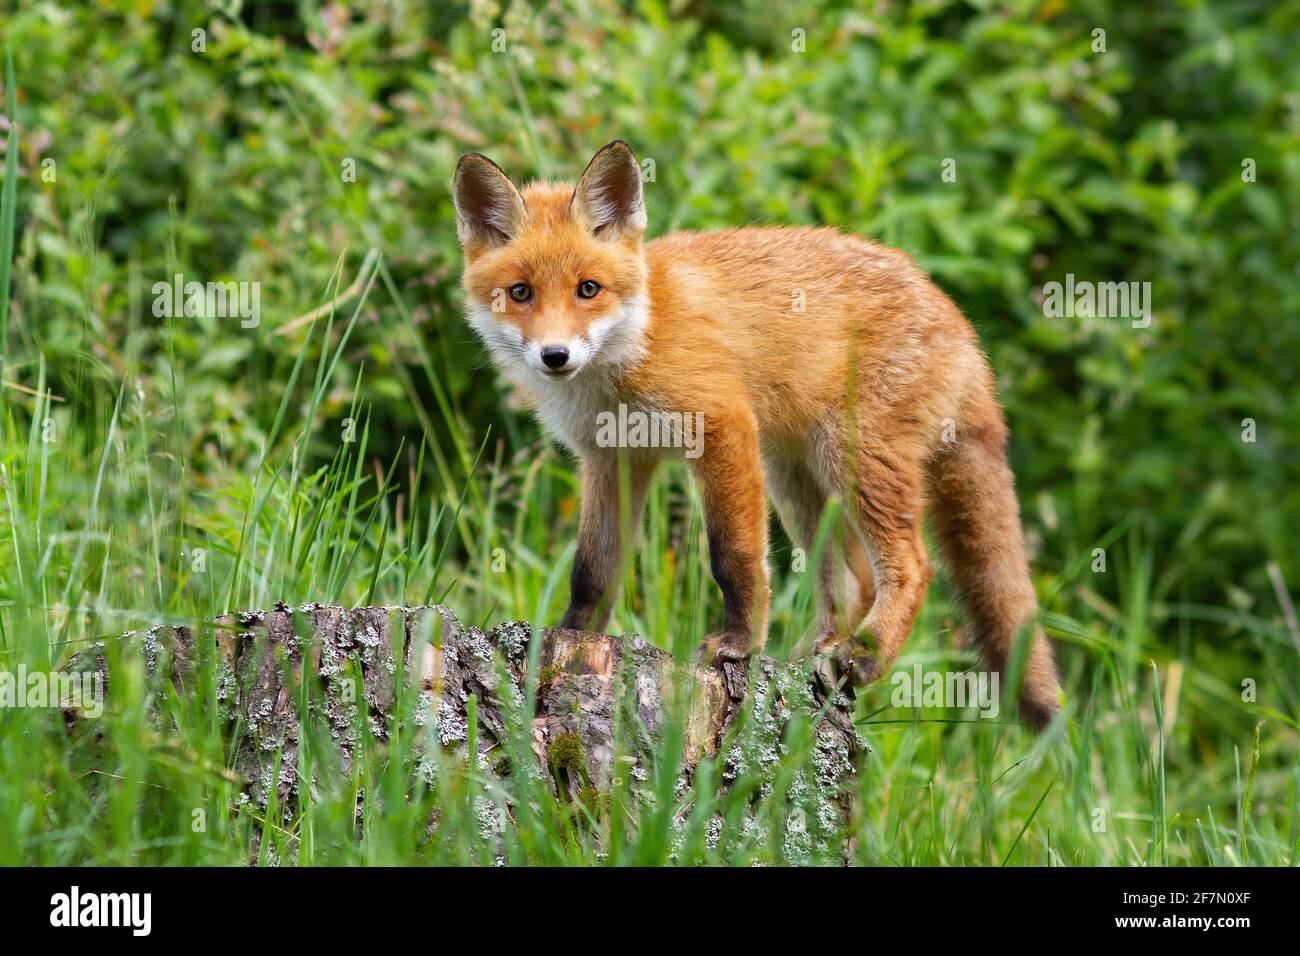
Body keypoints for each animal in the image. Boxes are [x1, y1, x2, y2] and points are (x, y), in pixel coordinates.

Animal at [452, 140, 1062, 729]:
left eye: (588, 289)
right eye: (521, 293)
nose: (555, 355)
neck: (636, 344)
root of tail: (958, 319)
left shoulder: (721, 426)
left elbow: (733, 555)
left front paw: (739, 644)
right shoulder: (612, 460)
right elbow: (592, 571)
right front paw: (573, 640)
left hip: (852, 457)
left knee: (912, 564)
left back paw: (865, 653)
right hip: (796, 479)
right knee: (854, 580)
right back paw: (812, 652)